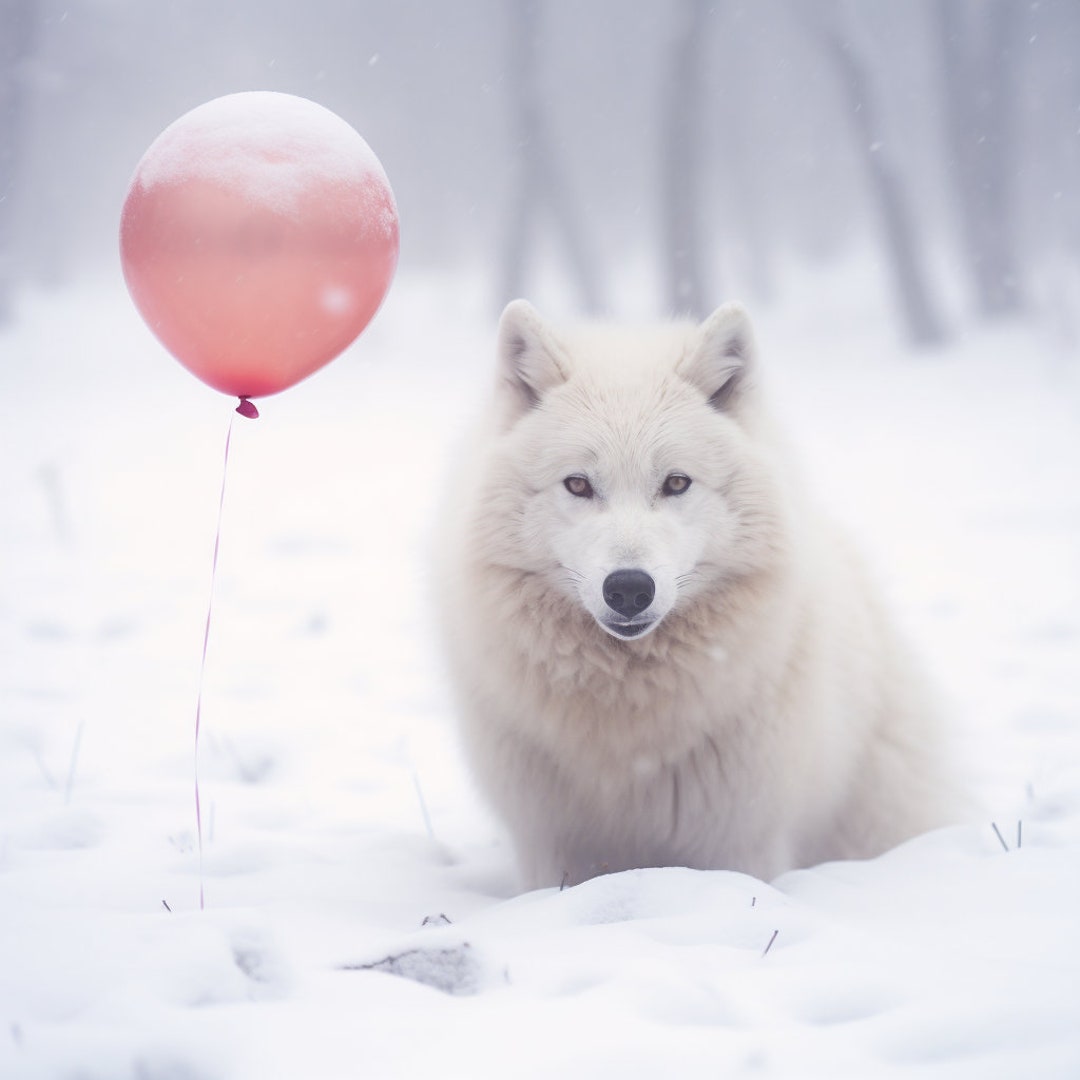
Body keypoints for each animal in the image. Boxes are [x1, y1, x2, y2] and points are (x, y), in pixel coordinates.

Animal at [438, 299, 958, 890]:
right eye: (577, 485)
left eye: (676, 483)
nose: (629, 588)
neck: (626, 717)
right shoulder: (551, 843)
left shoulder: (741, 840)